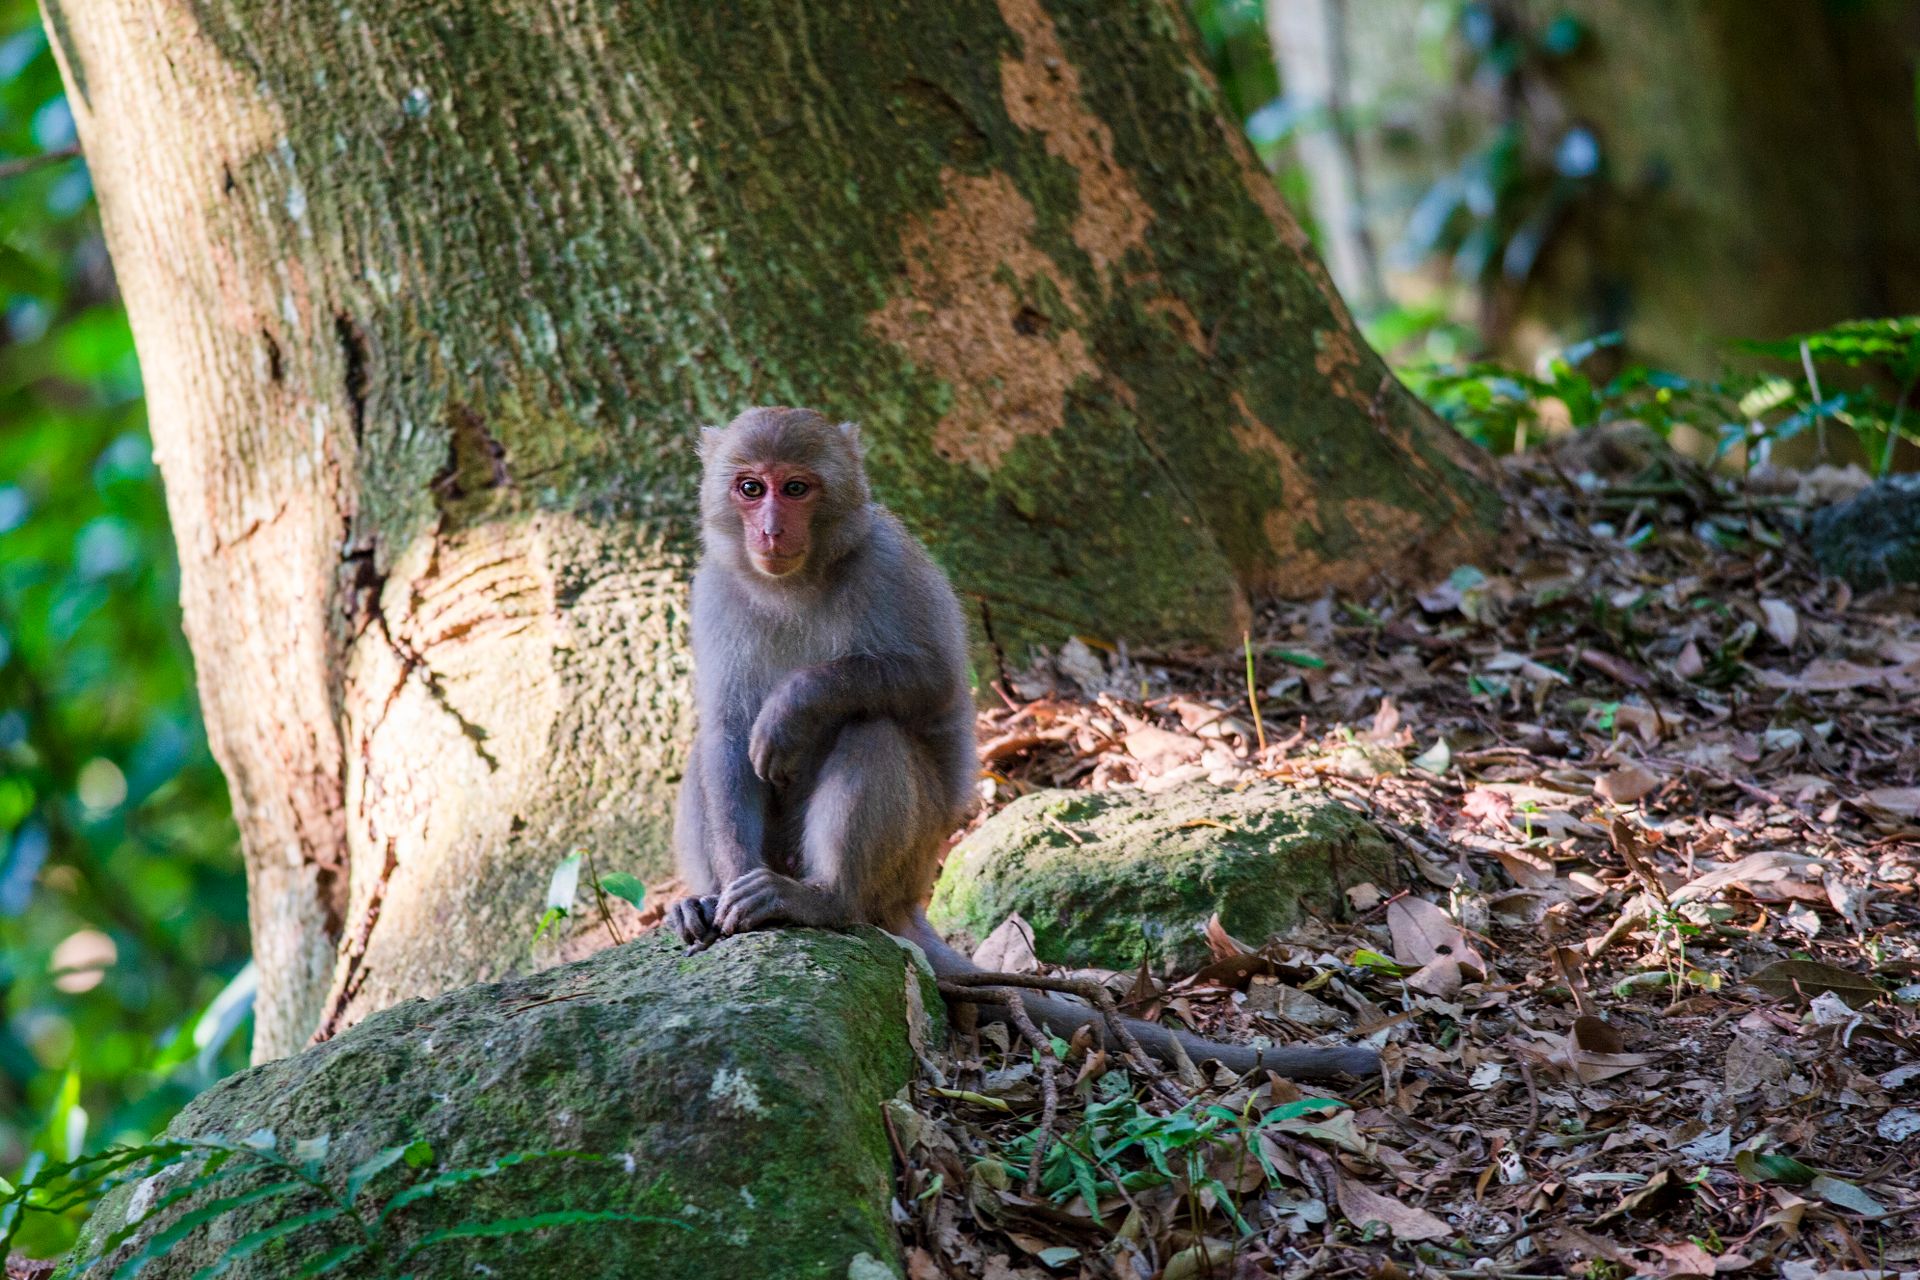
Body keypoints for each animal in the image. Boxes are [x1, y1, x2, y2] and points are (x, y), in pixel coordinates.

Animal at [668, 406, 1377, 1081]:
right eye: (750, 488)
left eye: (796, 488)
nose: (769, 530)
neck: (793, 583)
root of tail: (907, 897)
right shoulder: (713, 590)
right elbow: (726, 734)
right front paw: (727, 887)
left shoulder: (889, 565)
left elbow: (932, 684)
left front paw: (796, 704)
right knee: (708, 753)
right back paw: (711, 900)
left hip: (911, 857)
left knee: (872, 730)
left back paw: (823, 900)